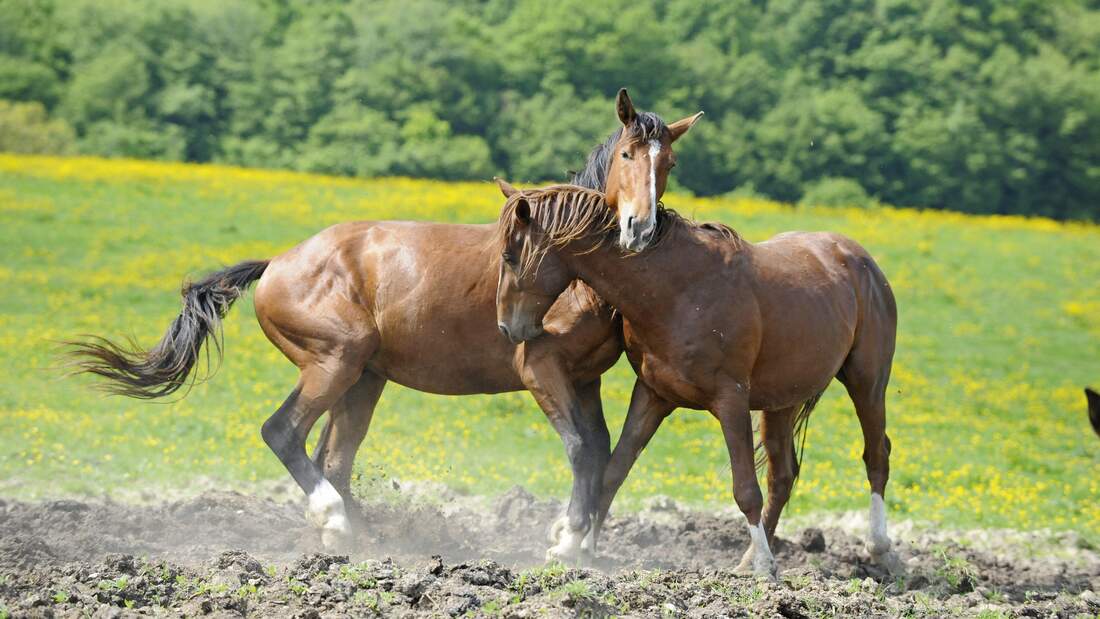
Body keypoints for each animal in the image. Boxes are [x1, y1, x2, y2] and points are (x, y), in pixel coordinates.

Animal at [67, 90, 702, 559]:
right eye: (627, 156)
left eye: (668, 162)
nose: (640, 229)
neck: (572, 274)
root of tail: (278, 264)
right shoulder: (541, 370)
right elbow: (580, 449)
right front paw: (566, 543)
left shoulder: (586, 378)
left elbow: (600, 451)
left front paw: (579, 540)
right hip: (335, 361)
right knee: (283, 433)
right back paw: (335, 524)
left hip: (363, 380)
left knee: (333, 459)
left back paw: (355, 540)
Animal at [492, 184, 901, 577]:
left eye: (509, 257)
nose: (507, 327)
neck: (676, 291)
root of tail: (860, 259)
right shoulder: (653, 394)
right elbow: (614, 471)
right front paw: (582, 549)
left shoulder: (731, 400)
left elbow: (745, 489)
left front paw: (766, 568)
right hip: (781, 402)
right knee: (782, 477)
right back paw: (748, 559)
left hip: (867, 382)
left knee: (876, 455)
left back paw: (878, 547)